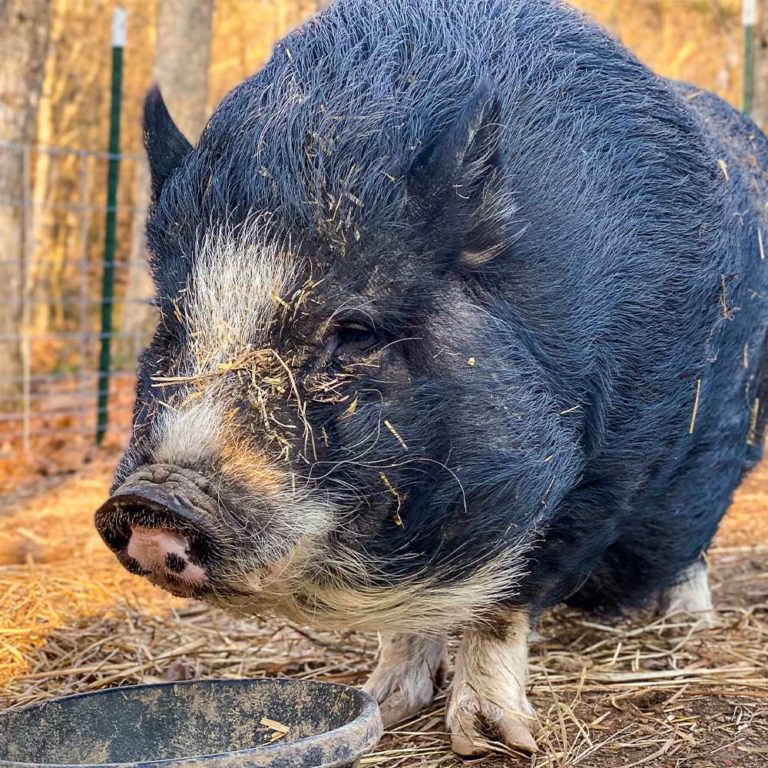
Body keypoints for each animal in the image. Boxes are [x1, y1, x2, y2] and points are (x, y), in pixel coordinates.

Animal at [95, 0, 768, 755]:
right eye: (174, 321)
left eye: (355, 330)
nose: (153, 498)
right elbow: (409, 616)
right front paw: (383, 707)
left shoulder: (603, 474)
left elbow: (500, 605)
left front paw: (496, 742)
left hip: (730, 431)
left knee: (695, 534)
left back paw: (689, 622)